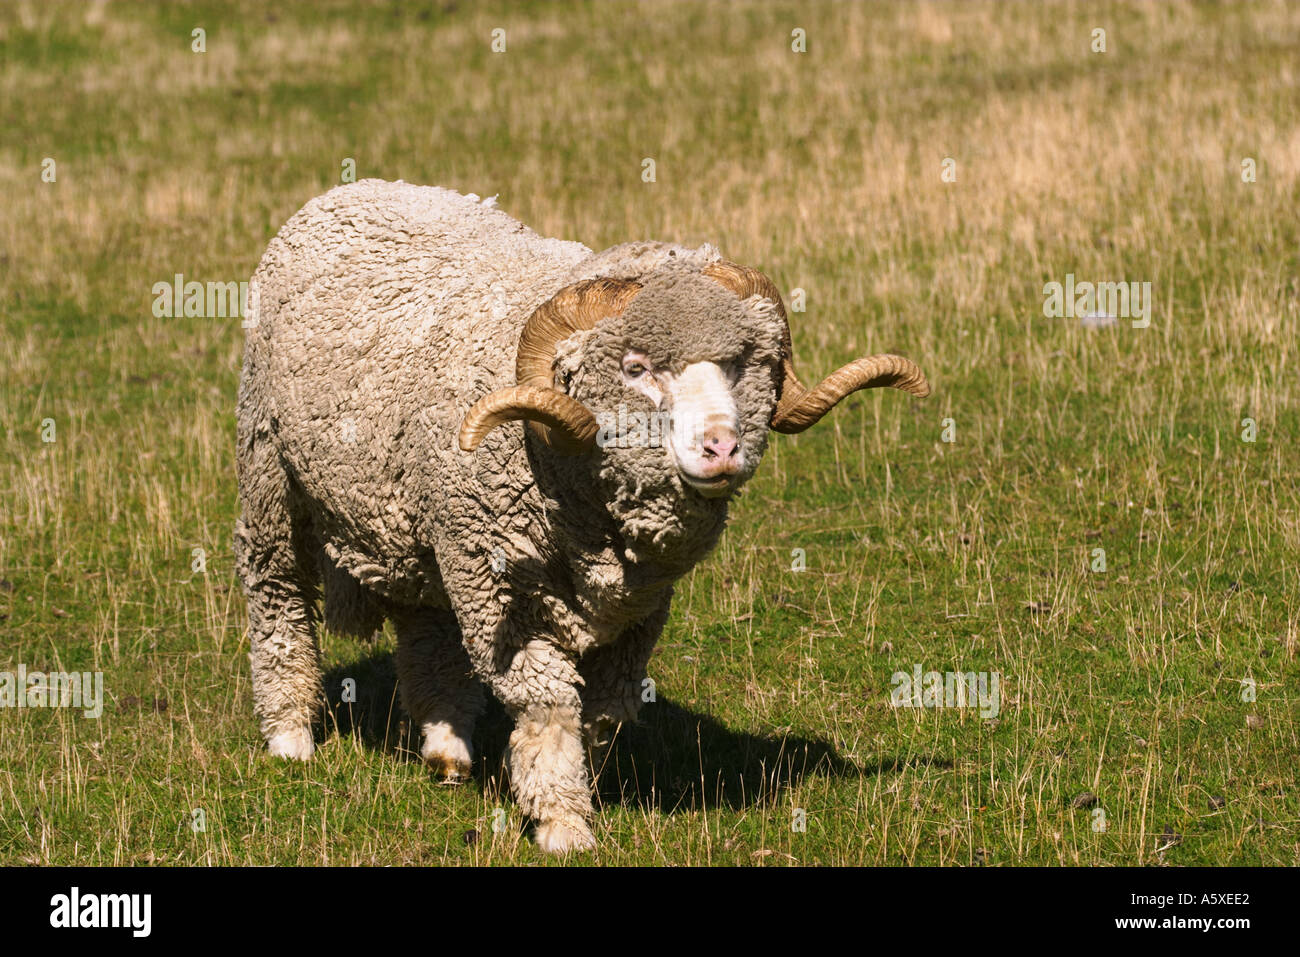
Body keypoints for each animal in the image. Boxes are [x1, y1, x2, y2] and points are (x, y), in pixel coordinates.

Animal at [235, 178, 930, 853]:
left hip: (417, 524)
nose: (721, 448)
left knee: (425, 628)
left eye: (740, 363)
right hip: (270, 476)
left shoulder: (637, 607)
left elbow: (602, 709)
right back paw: (291, 736)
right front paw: (561, 822)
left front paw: (581, 784)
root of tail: (343, 193)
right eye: (636, 368)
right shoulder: (499, 590)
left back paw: (445, 747)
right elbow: (547, 706)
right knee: (277, 600)